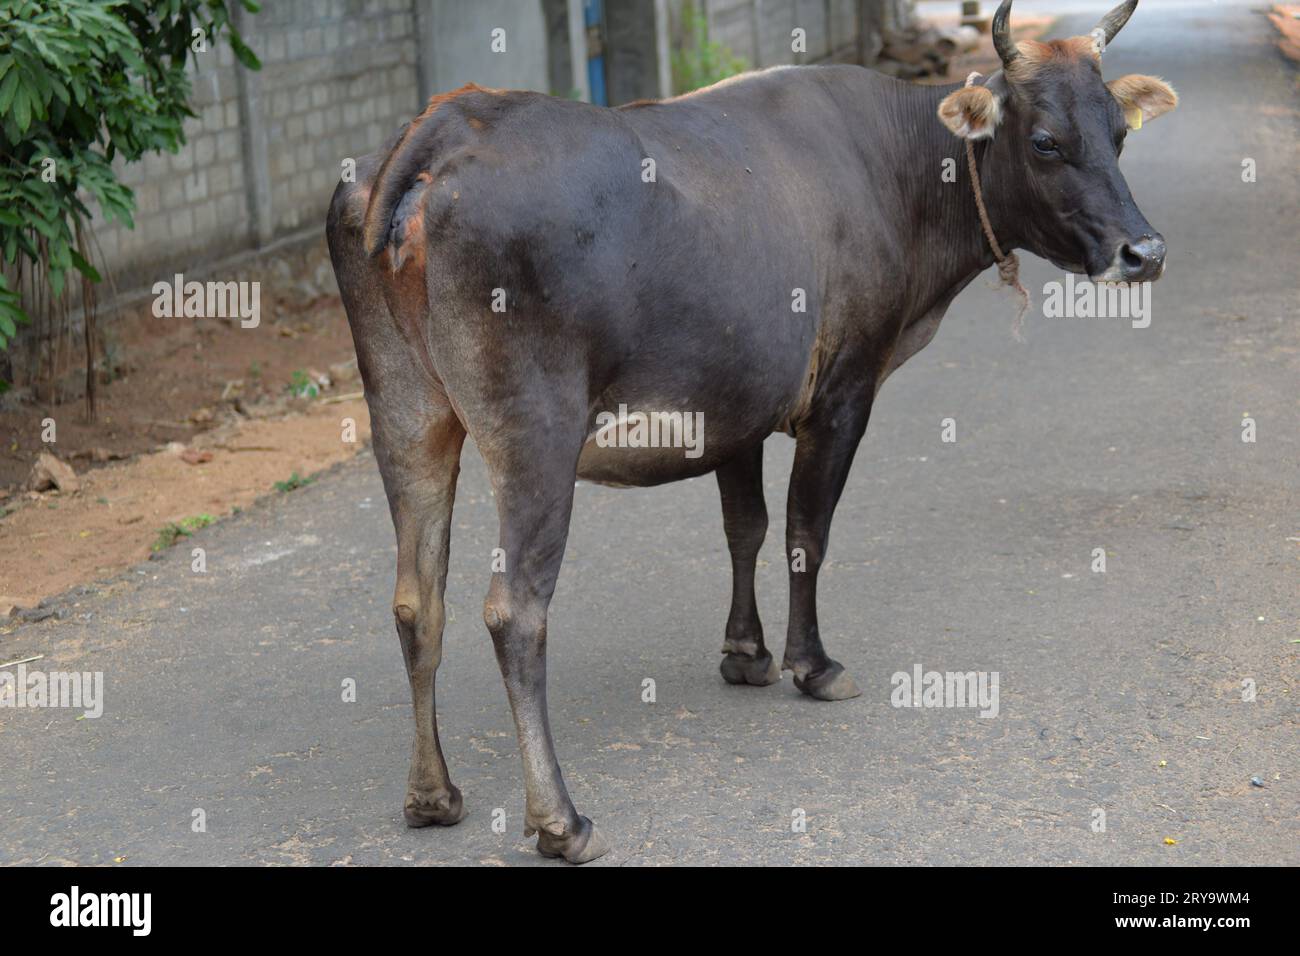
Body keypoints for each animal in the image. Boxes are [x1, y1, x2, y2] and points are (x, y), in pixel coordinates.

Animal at [326, 0, 1177, 863]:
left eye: (1119, 133)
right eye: (1044, 141)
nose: (1143, 252)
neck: (899, 168)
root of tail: (445, 124)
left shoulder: (732, 408)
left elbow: (746, 528)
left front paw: (746, 653)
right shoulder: (843, 390)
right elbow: (806, 532)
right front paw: (811, 663)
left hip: (406, 414)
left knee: (416, 600)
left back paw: (432, 794)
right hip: (534, 432)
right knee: (514, 612)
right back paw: (560, 819)